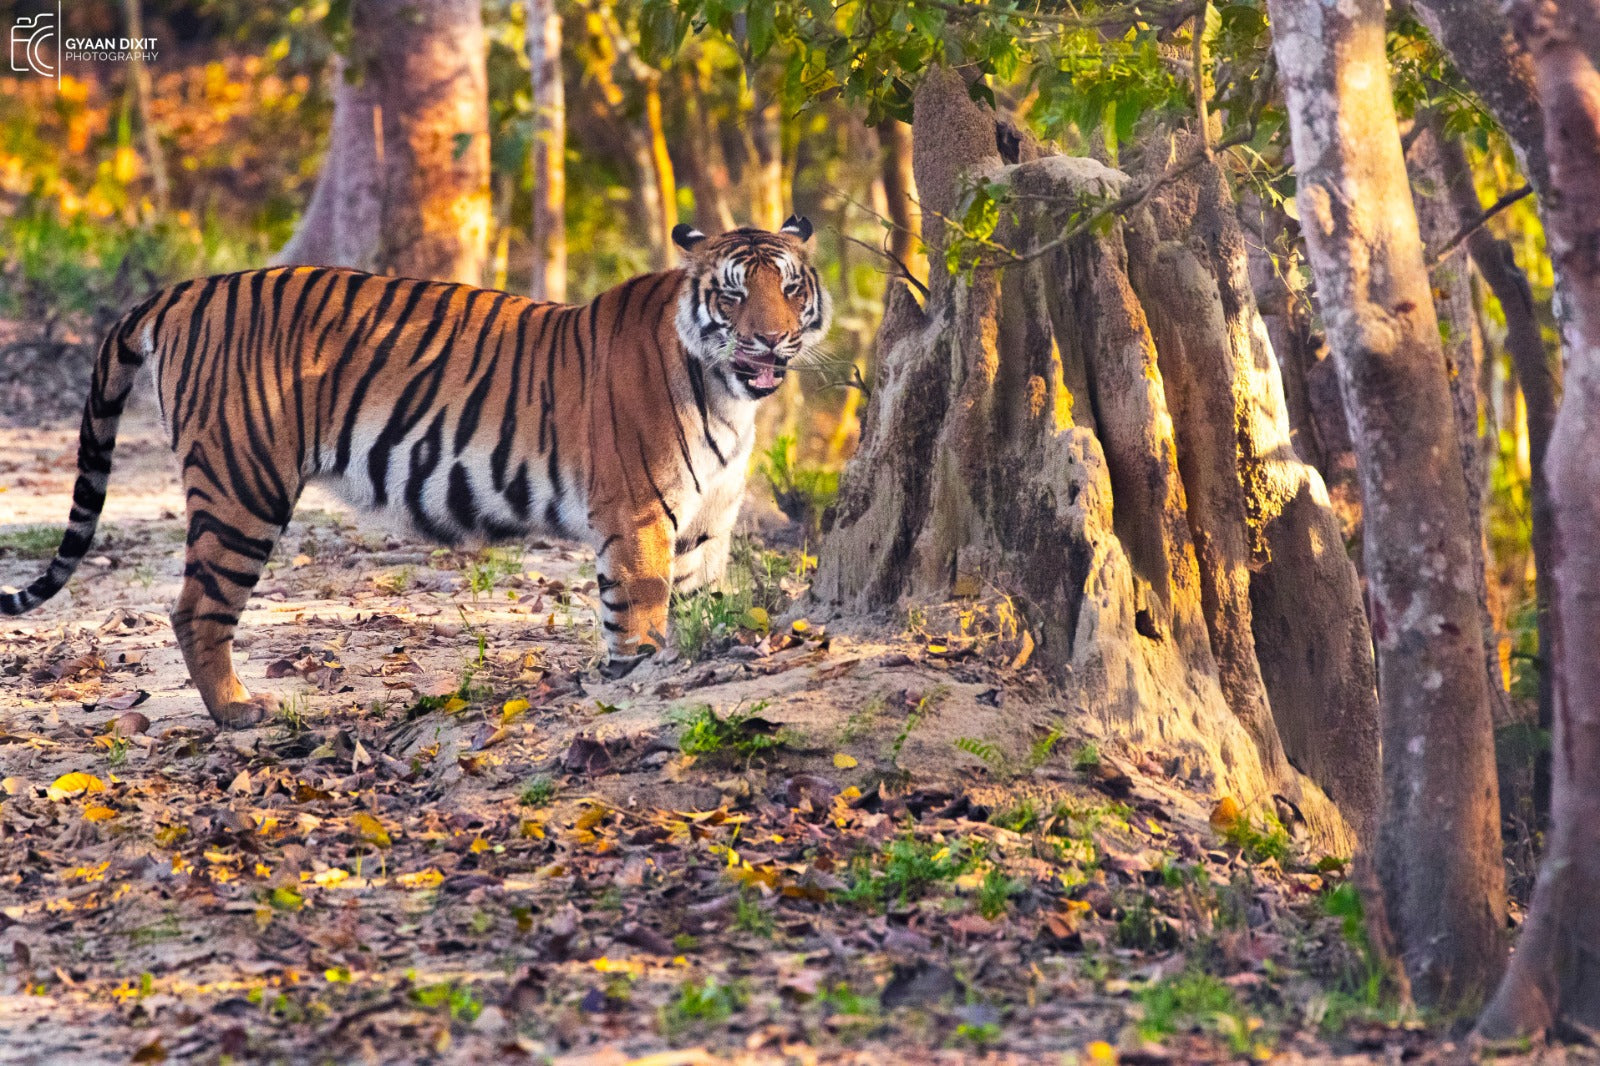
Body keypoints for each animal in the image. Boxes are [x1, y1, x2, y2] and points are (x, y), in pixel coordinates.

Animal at [0, 216, 831, 728]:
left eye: (790, 287)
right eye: (733, 291)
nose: (771, 340)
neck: (727, 394)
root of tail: (188, 288)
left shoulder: (704, 525)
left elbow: (690, 612)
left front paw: (689, 670)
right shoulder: (637, 517)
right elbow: (640, 616)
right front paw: (635, 684)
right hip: (244, 484)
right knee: (197, 608)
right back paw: (237, 710)